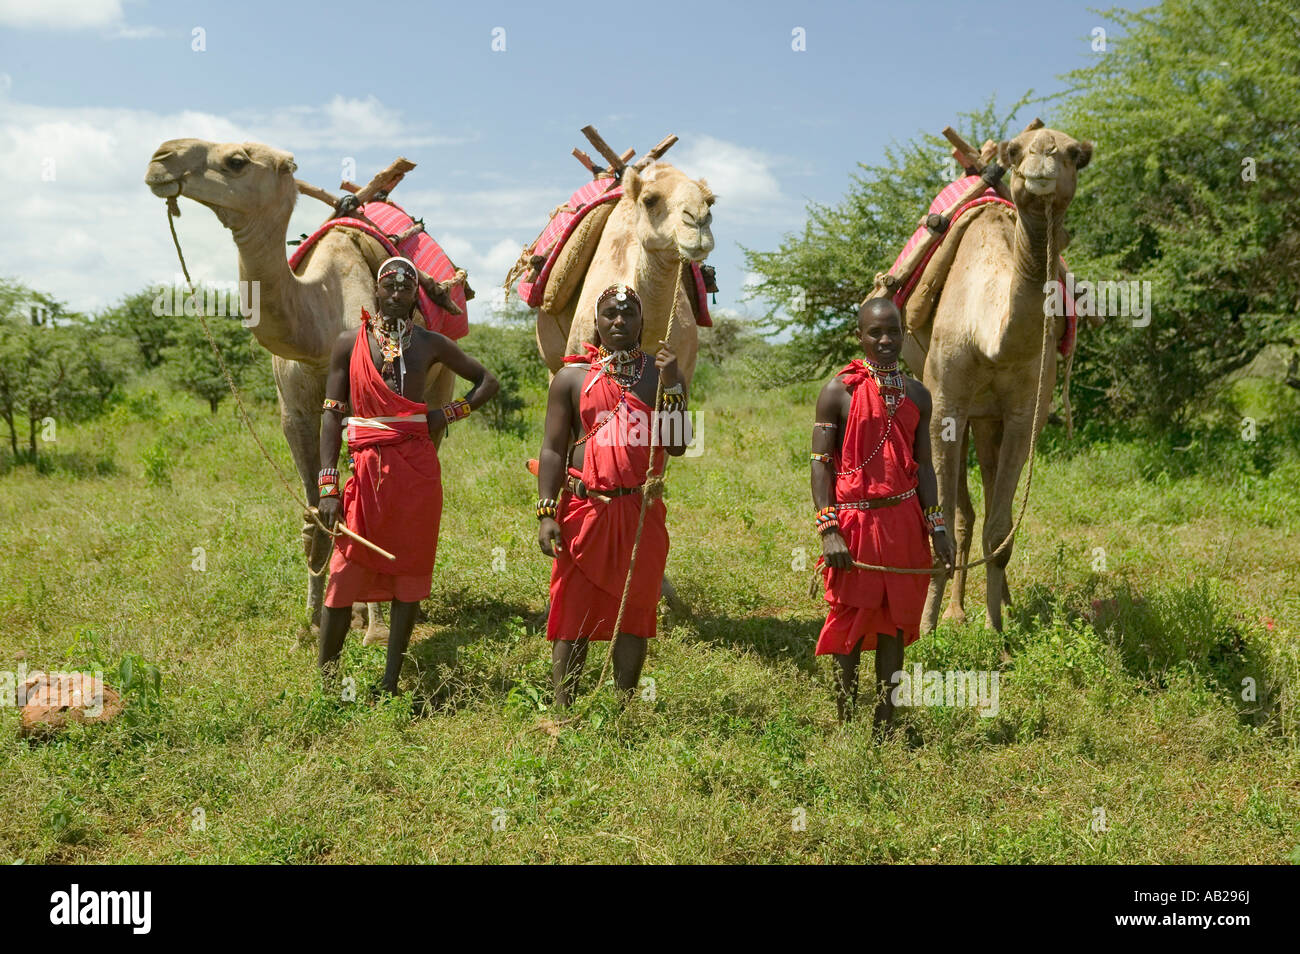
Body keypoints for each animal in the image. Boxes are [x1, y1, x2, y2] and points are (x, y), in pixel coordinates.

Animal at [144, 139, 461, 643]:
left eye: (237, 161)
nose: (160, 158)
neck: (318, 327)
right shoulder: (293, 411)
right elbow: (316, 516)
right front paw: (313, 621)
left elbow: (367, 513)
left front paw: (374, 630)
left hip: (438, 388)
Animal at [902, 125, 1093, 633]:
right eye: (1016, 151)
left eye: (1076, 154)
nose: (1043, 155)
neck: (990, 334)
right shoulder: (946, 405)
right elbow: (943, 524)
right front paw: (926, 630)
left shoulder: (1026, 414)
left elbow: (1001, 529)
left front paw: (996, 629)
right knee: (963, 511)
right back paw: (953, 611)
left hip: (989, 419)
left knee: (986, 504)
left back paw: (996, 603)